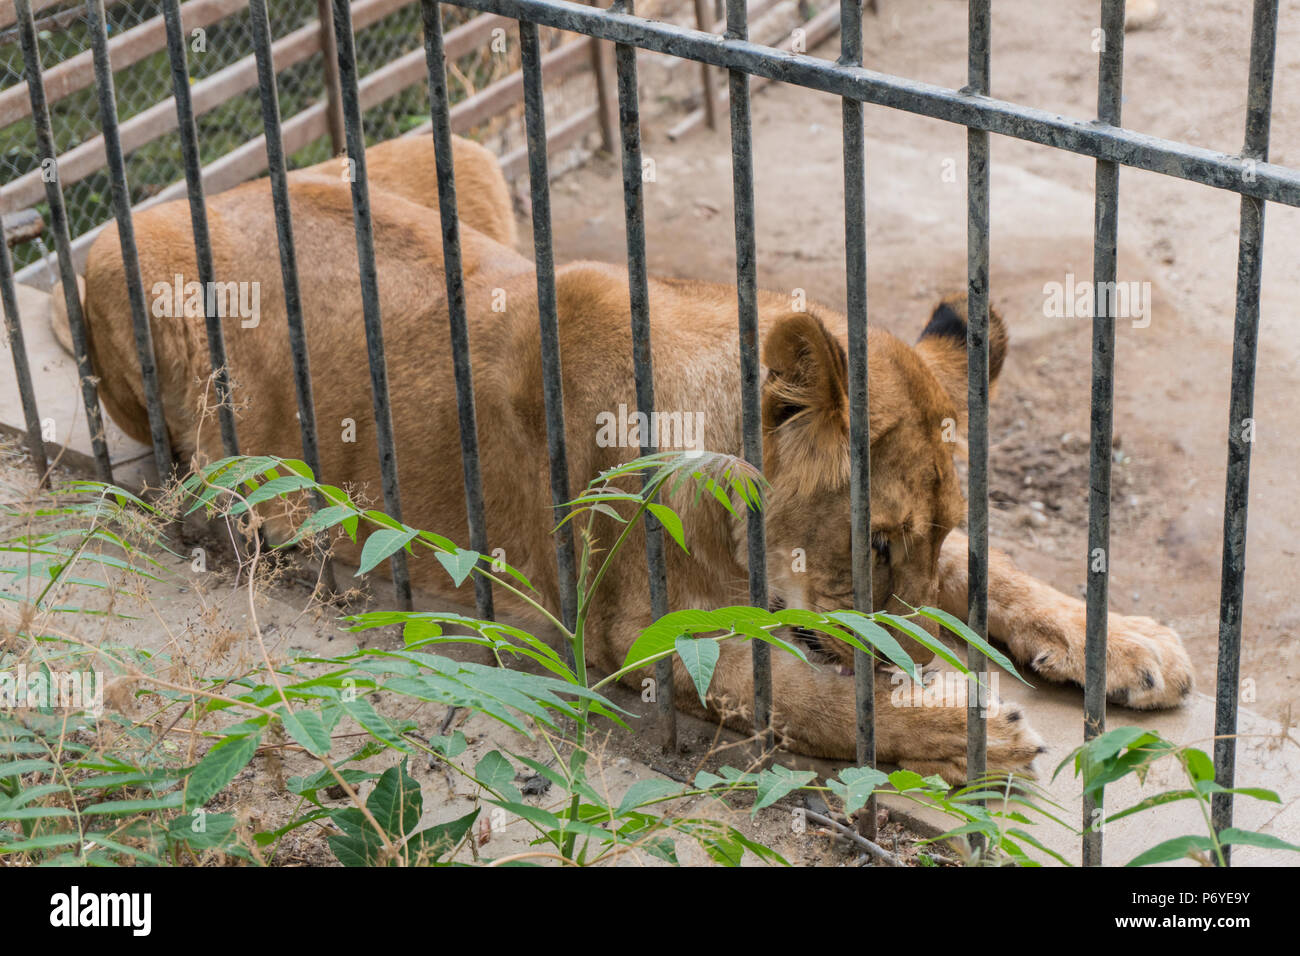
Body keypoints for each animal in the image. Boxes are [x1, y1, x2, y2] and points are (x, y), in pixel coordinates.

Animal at [56, 133, 1192, 783]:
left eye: (930, 530)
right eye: (871, 541)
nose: (916, 661)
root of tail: (223, 186)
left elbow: (990, 572)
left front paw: (1123, 640)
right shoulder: (622, 634)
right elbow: (802, 691)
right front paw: (965, 725)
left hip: (463, 154)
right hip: (120, 263)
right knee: (187, 472)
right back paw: (278, 511)